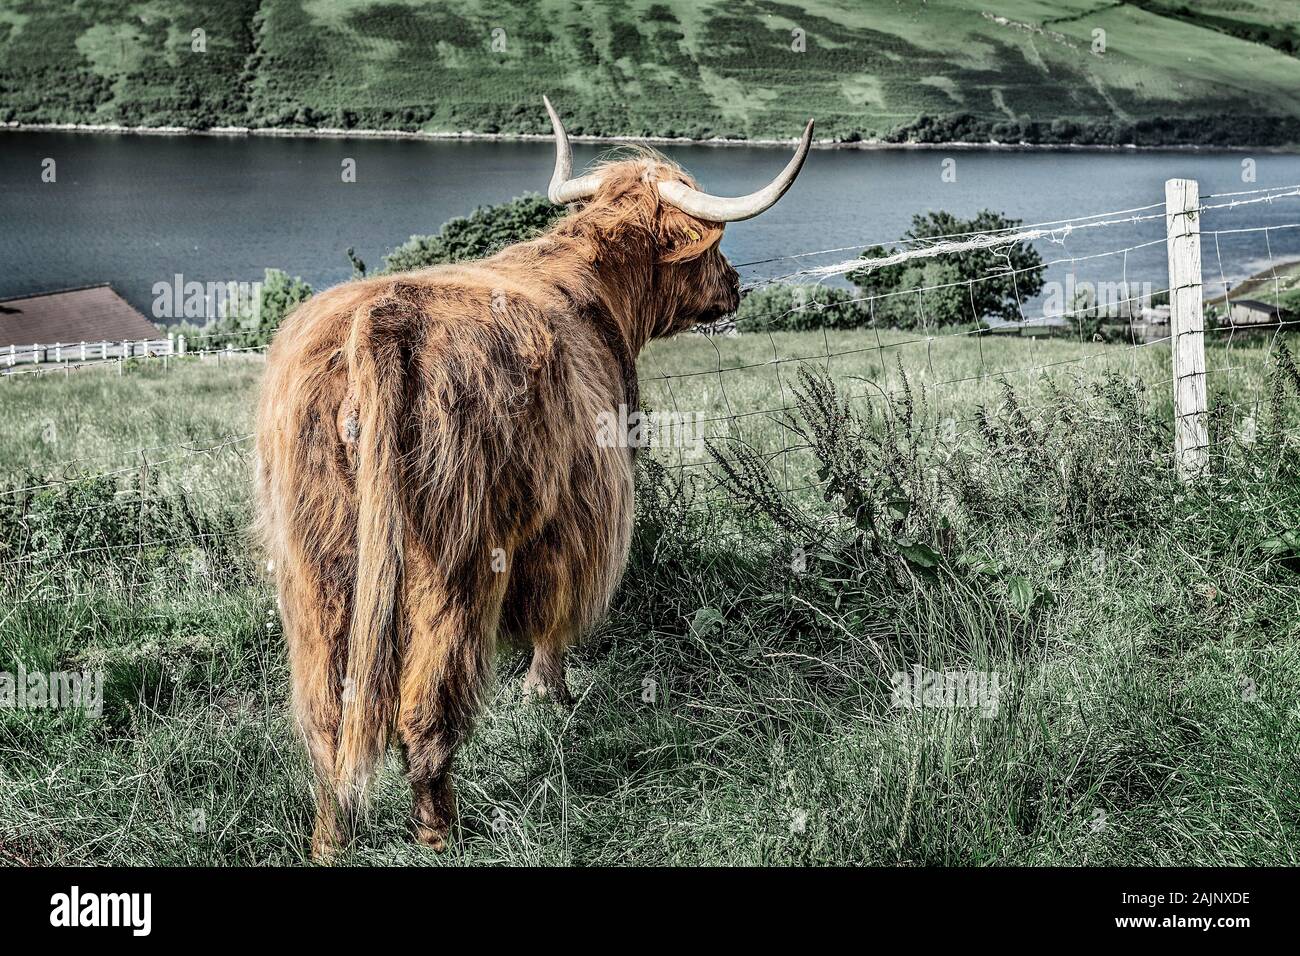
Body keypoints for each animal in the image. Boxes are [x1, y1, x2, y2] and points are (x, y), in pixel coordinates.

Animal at [255, 98, 813, 858]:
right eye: (708, 250)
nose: (735, 286)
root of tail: (384, 317)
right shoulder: (578, 512)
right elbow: (556, 611)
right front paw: (549, 693)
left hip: (320, 560)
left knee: (326, 713)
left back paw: (329, 839)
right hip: (455, 561)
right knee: (425, 704)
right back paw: (439, 832)